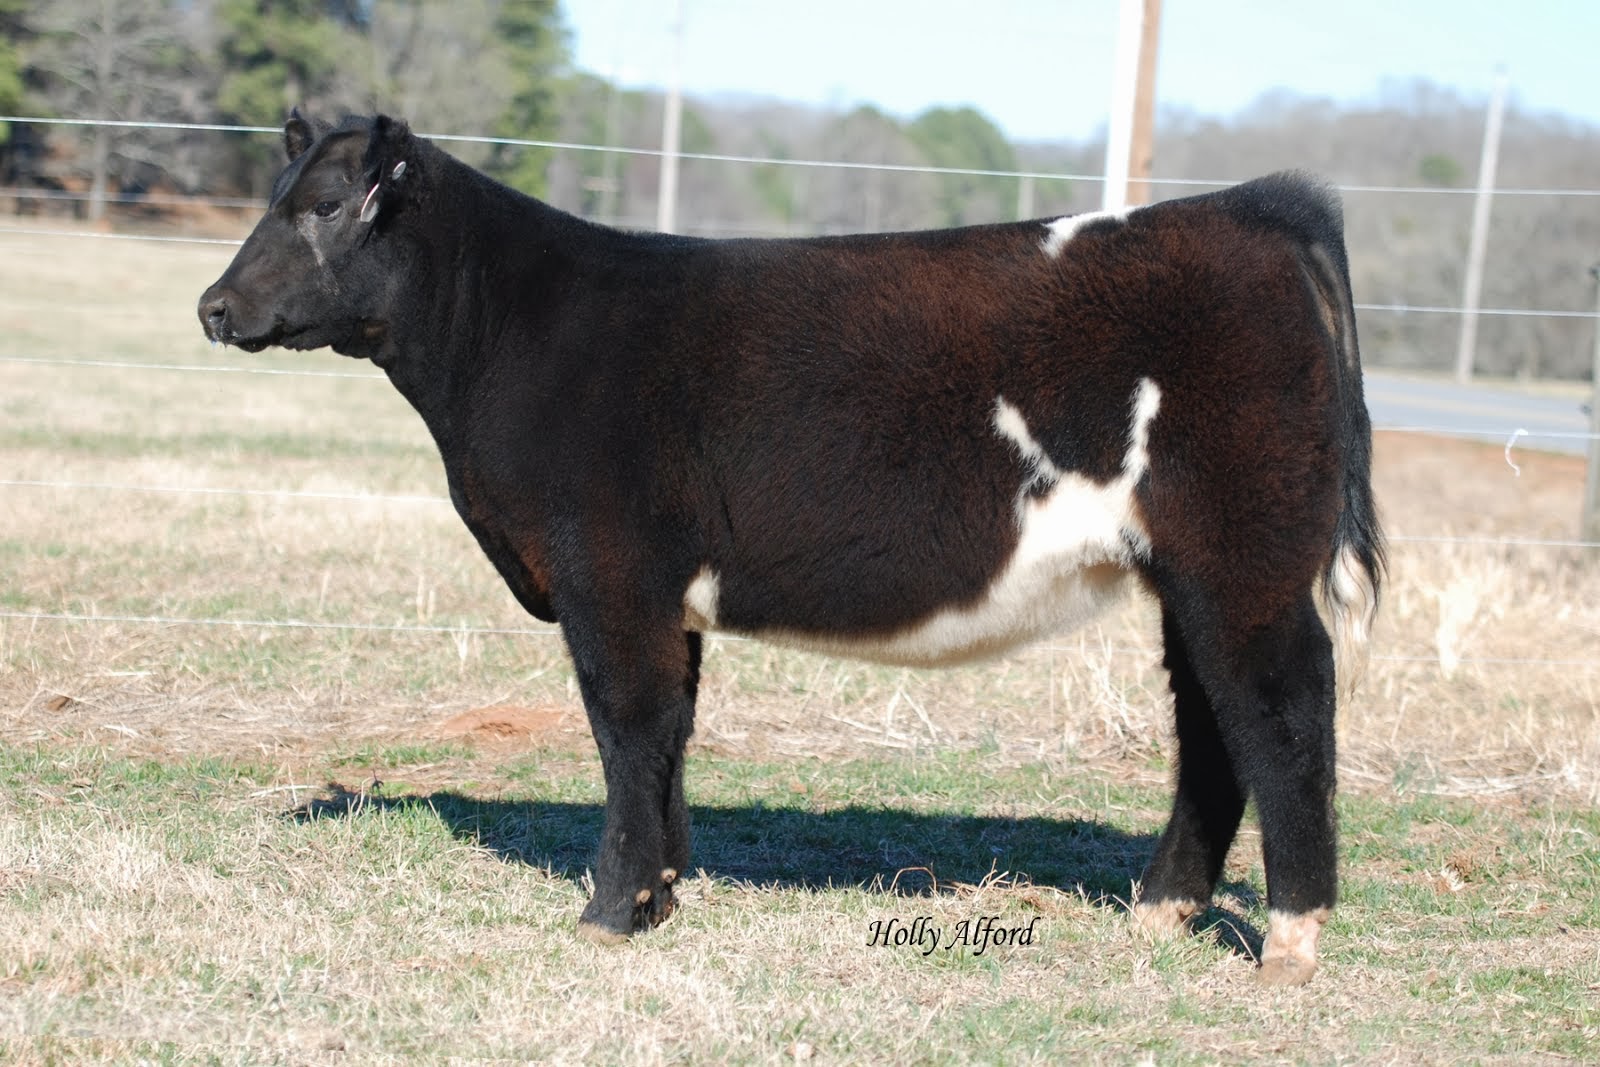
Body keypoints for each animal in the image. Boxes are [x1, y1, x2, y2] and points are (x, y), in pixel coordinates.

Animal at [199, 111, 1383, 986]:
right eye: (276, 195)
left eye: (321, 207)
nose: (213, 306)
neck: (519, 333)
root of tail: (1246, 210)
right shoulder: (664, 592)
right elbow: (670, 733)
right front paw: (660, 892)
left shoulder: (609, 575)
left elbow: (626, 728)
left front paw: (607, 910)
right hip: (1190, 575)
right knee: (1212, 724)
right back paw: (1161, 908)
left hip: (1246, 563)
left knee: (1281, 712)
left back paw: (1291, 938)